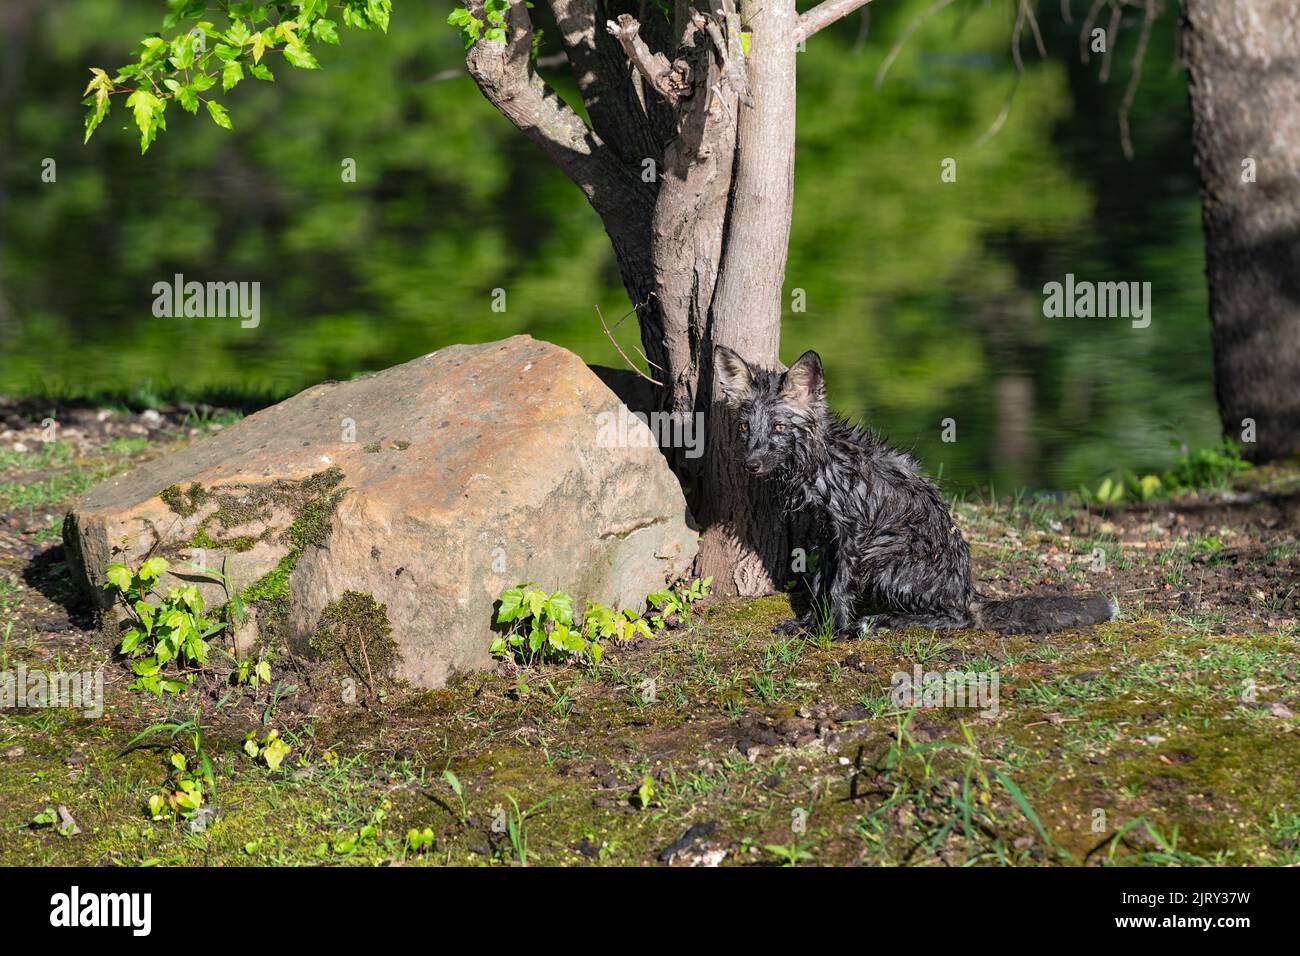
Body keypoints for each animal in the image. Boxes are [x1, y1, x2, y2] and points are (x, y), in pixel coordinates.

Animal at [713, 346, 1118, 636]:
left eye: (780, 428)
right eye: (746, 428)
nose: (751, 465)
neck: (820, 462)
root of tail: (967, 590)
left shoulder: (854, 533)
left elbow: (838, 589)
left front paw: (832, 632)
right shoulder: (826, 535)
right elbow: (817, 586)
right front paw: (809, 624)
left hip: (885, 560)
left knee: (958, 619)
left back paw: (880, 622)